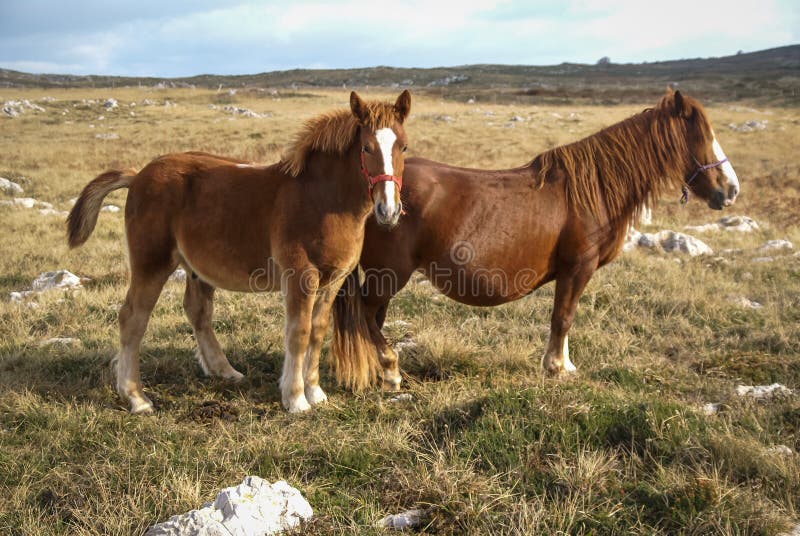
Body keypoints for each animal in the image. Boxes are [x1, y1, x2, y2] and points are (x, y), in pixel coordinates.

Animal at [67, 90, 411, 414]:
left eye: (404, 147)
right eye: (366, 148)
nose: (388, 210)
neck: (322, 198)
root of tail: (138, 175)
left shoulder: (333, 280)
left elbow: (317, 332)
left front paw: (315, 392)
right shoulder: (300, 276)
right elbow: (298, 333)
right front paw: (296, 399)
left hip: (195, 268)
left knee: (197, 311)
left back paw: (225, 371)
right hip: (151, 263)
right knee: (133, 318)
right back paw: (136, 398)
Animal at [330, 89, 740, 390]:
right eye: (703, 137)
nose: (731, 189)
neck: (591, 189)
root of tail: (374, 195)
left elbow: (563, 318)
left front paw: (563, 364)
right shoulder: (577, 268)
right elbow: (563, 317)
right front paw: (557, 367)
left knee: (371, 318)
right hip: (389, 274)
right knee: (364, 315)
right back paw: (390, 370)